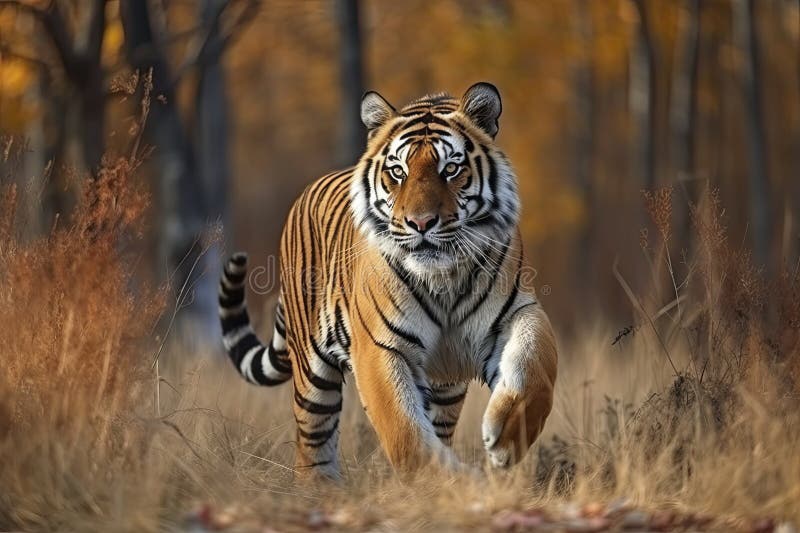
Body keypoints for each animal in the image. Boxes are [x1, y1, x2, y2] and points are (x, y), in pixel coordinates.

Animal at [219, 83, 558, 479]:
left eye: (451, 168)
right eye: (398, 171)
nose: (421, 223)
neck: (442, 278)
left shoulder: (516, 313)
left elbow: (534, 367)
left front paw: (505, 440)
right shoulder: (380, 346)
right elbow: (405, 432)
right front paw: (449, 483)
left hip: (446, 387)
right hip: (312, 378)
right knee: (312, 447)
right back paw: (323, 489)